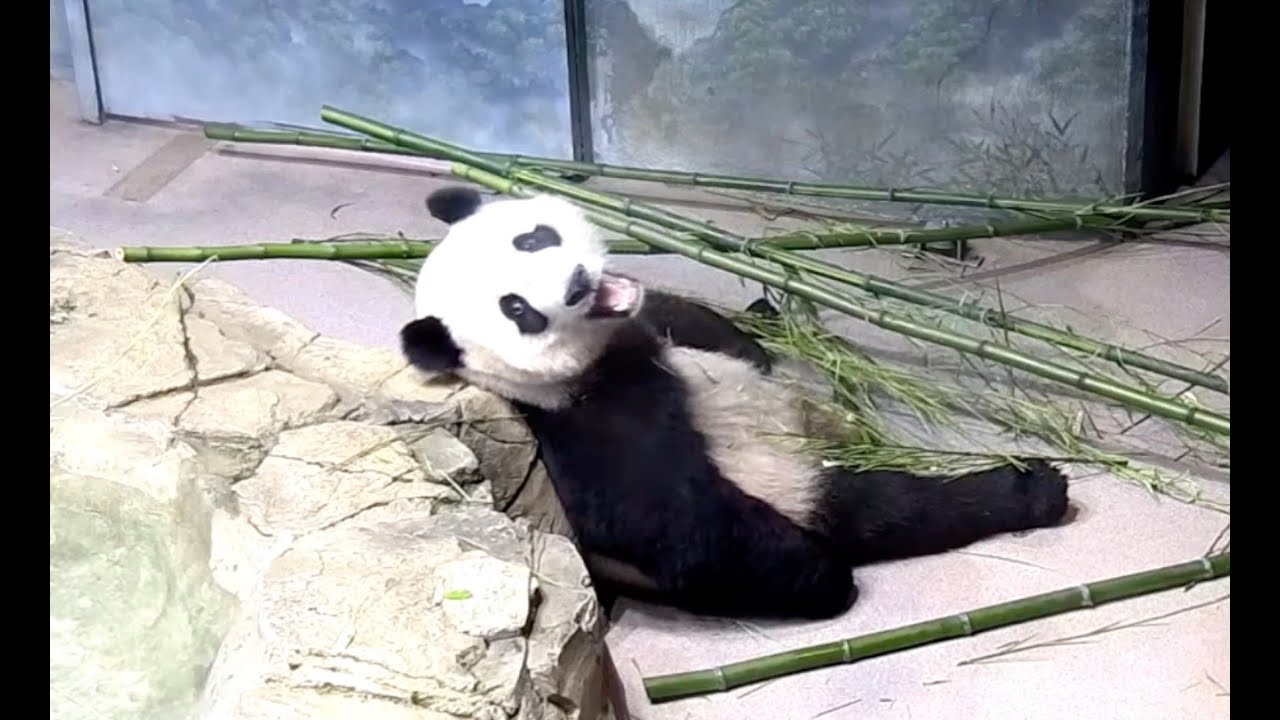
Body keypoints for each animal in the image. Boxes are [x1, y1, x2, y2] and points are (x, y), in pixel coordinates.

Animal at [400, 185, 1071, 621]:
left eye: (533, 237)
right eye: (517, 309)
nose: (577, 284)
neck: (602, 356)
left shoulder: (650, 330)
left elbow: (699, 325)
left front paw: (759, 317)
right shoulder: (588, 415)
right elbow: (672, 526)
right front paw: (829, 584)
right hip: (790, 479)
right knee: (889, 507)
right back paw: (1029, 491)